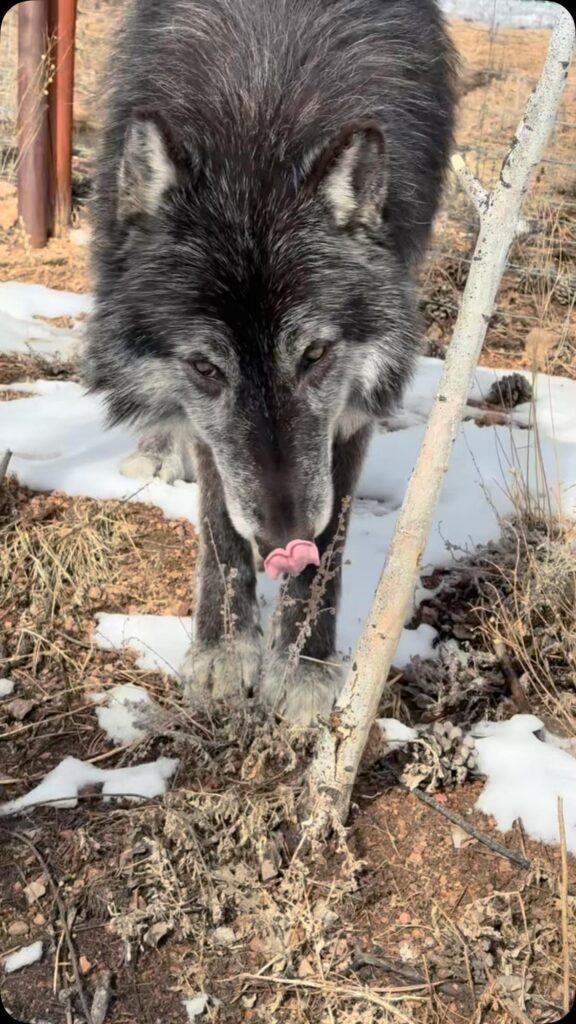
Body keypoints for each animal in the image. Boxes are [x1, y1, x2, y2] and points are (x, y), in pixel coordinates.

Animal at [86, 0, 457, 725]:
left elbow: (332, 538)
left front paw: (304, 665)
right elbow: (218, 527)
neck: (261, 120)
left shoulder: (349, 404)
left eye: (313, 354)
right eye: (207, 368)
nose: (284, 541)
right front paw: (226, 648)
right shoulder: (211, 428)